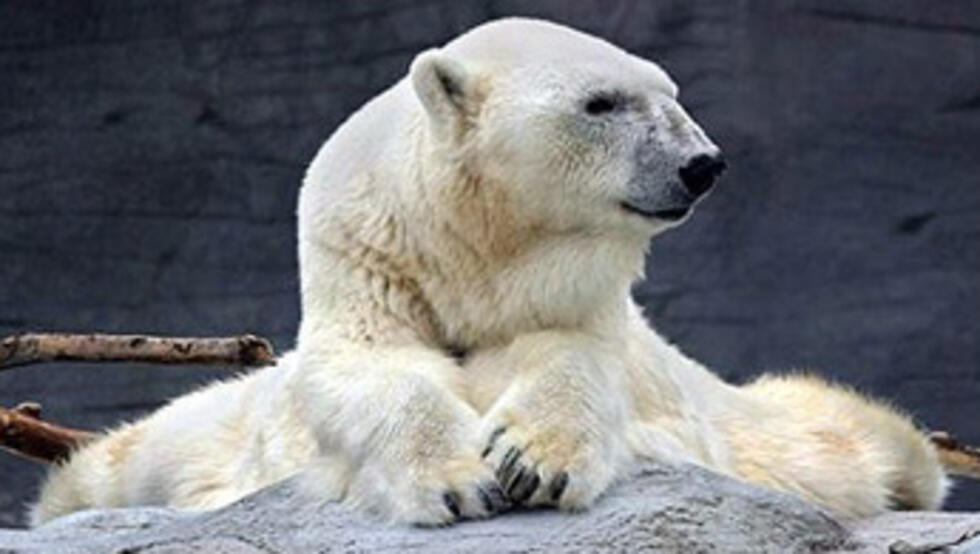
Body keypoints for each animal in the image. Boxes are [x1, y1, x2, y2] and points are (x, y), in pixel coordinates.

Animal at [31, 17, 948, 526]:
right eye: (602, 103)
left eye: (673, 94)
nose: (702, 165)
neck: (480, 244)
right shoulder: (363, 259)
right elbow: (369, 368)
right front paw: (456, 483)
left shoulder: (581, 304)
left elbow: (574, 356)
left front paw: (531, 461)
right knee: (143, 450)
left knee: (836, 432)